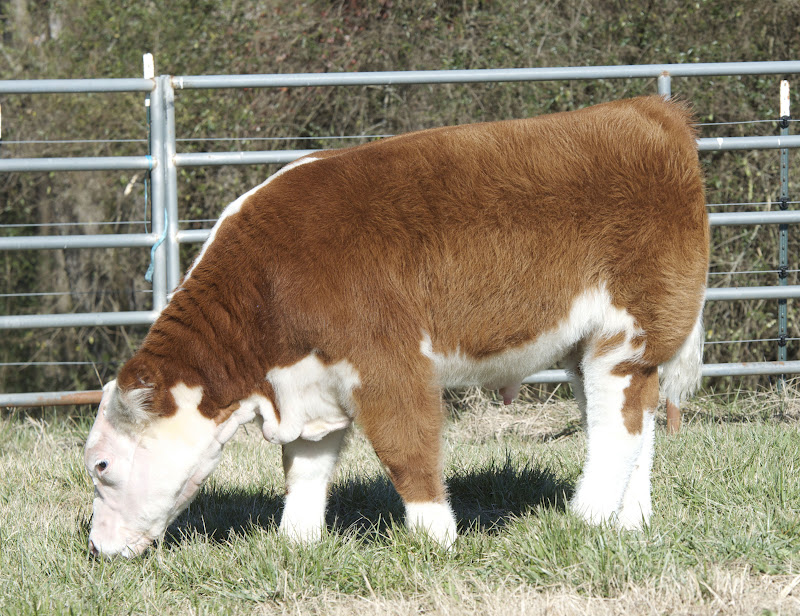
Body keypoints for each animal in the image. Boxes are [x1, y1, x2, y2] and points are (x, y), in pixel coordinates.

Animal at [84, 96, 708, 558]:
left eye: (101, 465)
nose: (94, 546)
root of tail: (649, 110)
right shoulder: (313, 382)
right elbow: (305, 469)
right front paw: (296, 543)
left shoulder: (388, 365)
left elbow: (408, 450)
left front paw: (437, 542)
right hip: (596, 346)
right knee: (635, 422)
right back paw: (629, 521)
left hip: (628, 332)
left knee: (616, 426)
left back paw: (585, 519)